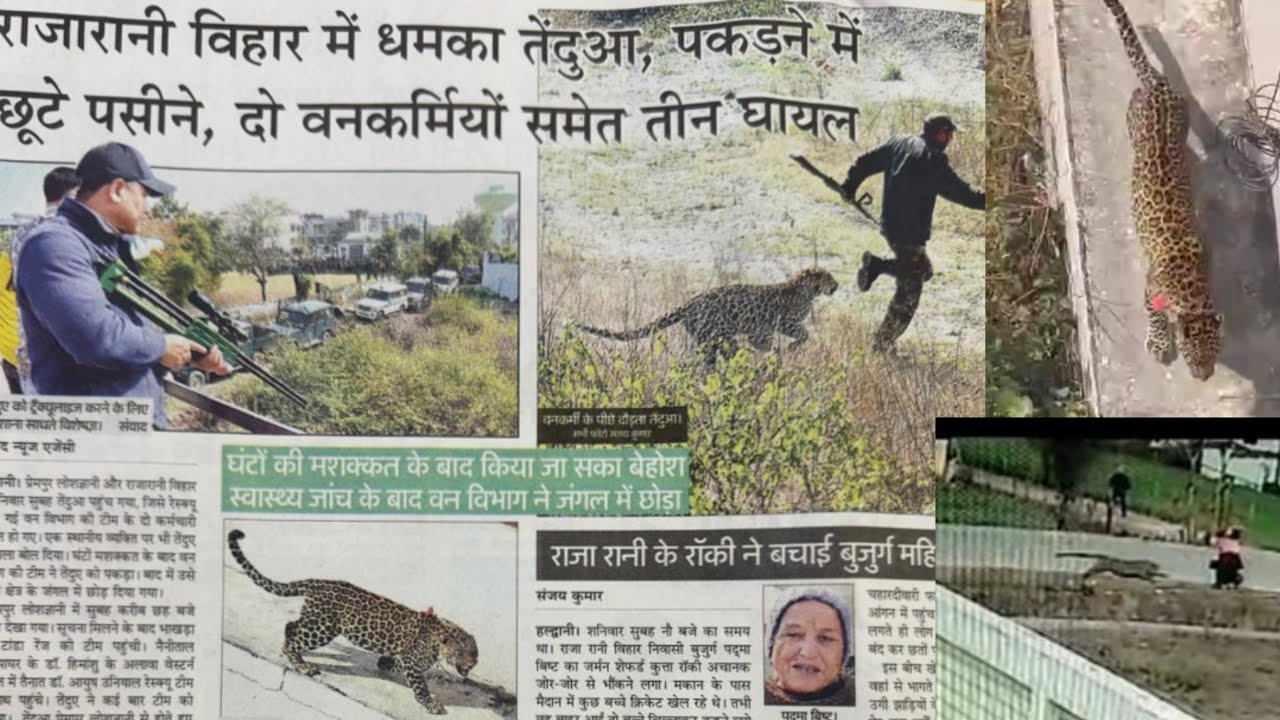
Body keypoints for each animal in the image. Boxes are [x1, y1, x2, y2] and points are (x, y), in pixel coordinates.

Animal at [227, 529, 478, 714]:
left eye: (475, 653)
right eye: (463, 652)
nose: (472, 664)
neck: (439, 643)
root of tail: (317, 581)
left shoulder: (406, 658)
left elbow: (392, 662)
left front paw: (384, 663)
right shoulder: (413, 663)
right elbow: (421, 687)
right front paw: (432, 705)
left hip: (315, 621)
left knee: (291, 625)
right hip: (323, 628)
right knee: (294, 638)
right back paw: (302, 664)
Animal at [576, 267, 838, 361]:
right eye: (830, 277)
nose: (837, 285)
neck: (808, 289)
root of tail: (689, 303)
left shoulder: (760, 331)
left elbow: (765, 343)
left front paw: (775, 353)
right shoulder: (786, 322)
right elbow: (803, 334)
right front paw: (789, 348)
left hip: (706, 338)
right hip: (717, 335)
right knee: (720, 354)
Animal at [1100, 0, 1221, 381]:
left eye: (1215, 353)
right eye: (1192, 357)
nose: (1204, 376)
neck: (1191, 293)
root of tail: (1157, 85)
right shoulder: (1150, 291)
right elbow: (1154, 317)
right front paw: (1159, 343)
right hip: (1133, 115)